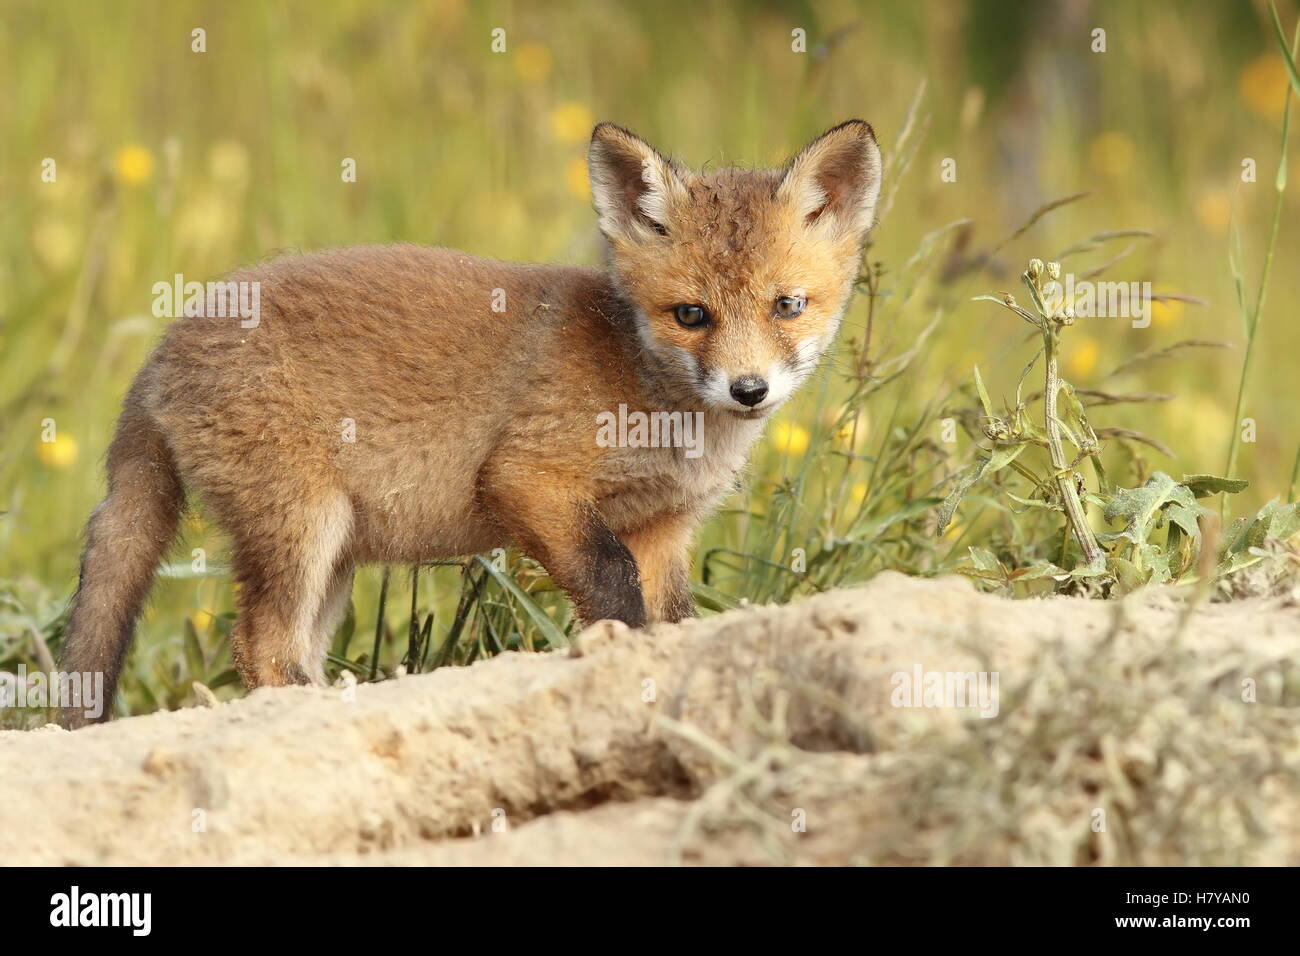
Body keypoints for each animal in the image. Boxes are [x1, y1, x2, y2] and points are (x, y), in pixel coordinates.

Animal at [59, 120, 882, 727]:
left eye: (788, 306)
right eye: (691, 315)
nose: (749, 390)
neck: (658, 408)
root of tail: (166, 344)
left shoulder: (663, 528)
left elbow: (671, 619)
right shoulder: (526, 480)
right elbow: (612, 586)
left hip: (334, 553)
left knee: (285, 650)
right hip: (301, 526)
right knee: (260, 649)